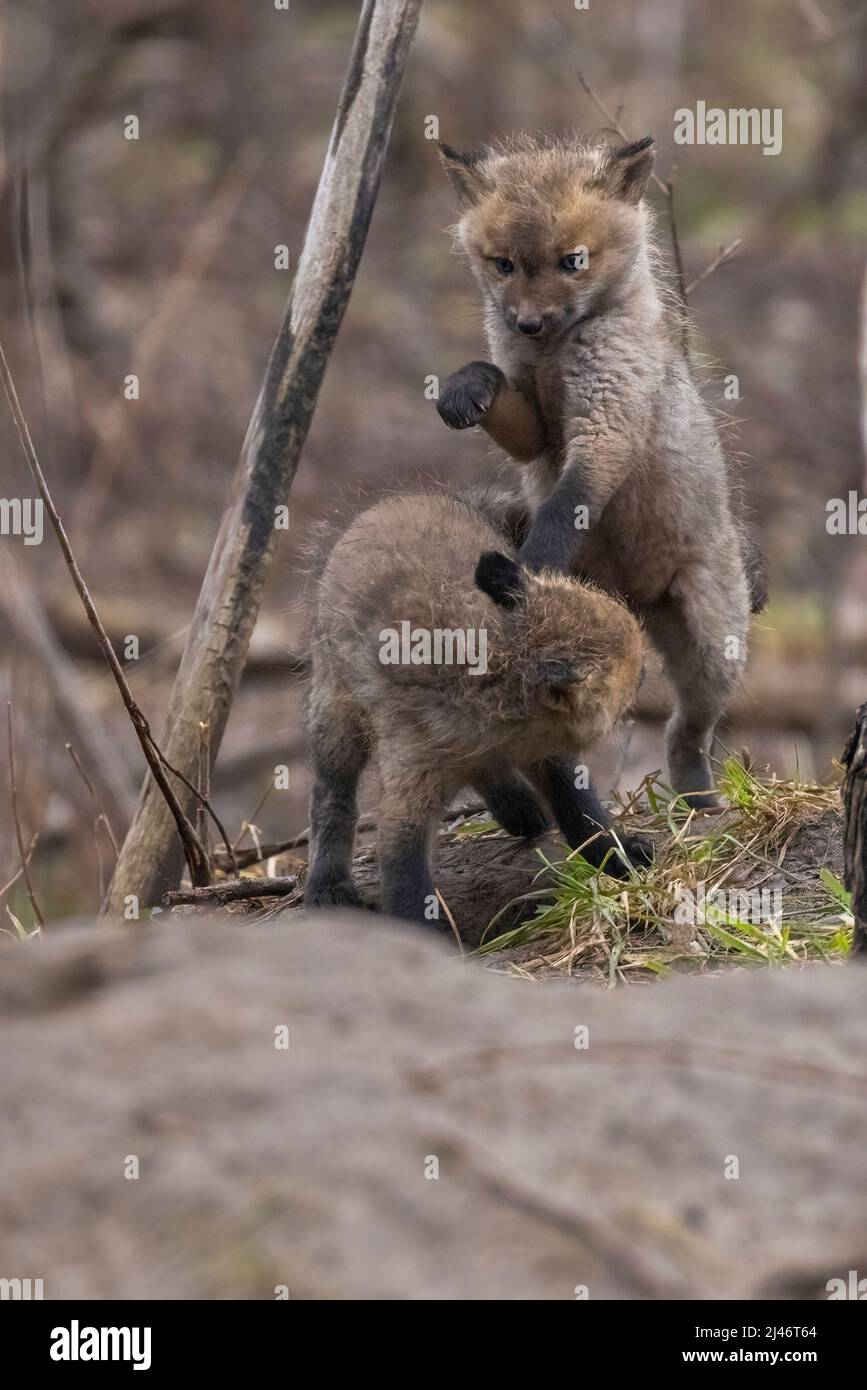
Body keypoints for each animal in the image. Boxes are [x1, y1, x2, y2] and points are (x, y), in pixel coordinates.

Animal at [304, 491, 648, 926]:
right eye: (632, 668)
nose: (647, 671)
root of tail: (395, 500)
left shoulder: (550, 753)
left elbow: (583, 814)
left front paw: (620, 859)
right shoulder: (409, 783)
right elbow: (405, 878)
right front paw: (417, 933)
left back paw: (517, 807)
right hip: (334, 715)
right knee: (331, 797)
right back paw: (327, 884)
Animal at [437, 133, 766, 810]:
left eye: (573, 261)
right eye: (504, 264)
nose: (528, 322)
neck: (555, 355)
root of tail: (637, 599)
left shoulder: (608, 422)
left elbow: (569, 505)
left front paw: (528, 568)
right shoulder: (540, 427)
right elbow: (500, 391)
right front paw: (468, 385)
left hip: (712, 644)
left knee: (687, 728)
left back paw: (698, 801)